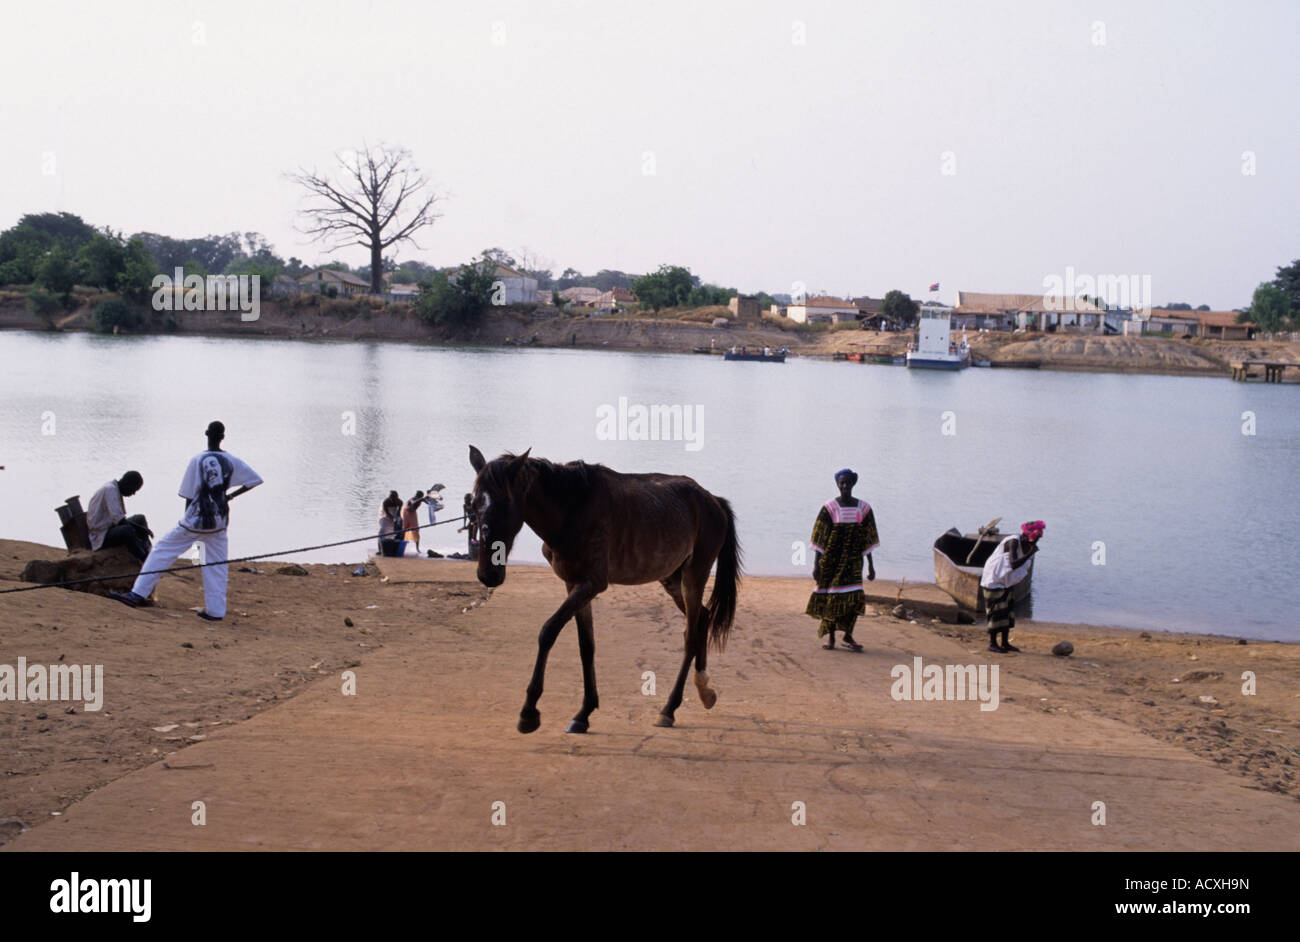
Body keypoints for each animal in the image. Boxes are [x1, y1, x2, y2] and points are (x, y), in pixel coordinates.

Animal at [468, 445, 741, 734]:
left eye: (505, 504)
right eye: (473, 506)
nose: (488, 574)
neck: (572, 508)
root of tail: (713, 501)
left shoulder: (592, 583)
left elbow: (548, 631)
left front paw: (529, 712)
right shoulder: (574, 584)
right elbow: (586, 646)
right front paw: (583, 713)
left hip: (694, 576)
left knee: (690, 635)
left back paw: (669, 709)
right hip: (672, 580)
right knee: (702, 618)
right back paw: (704, 689)